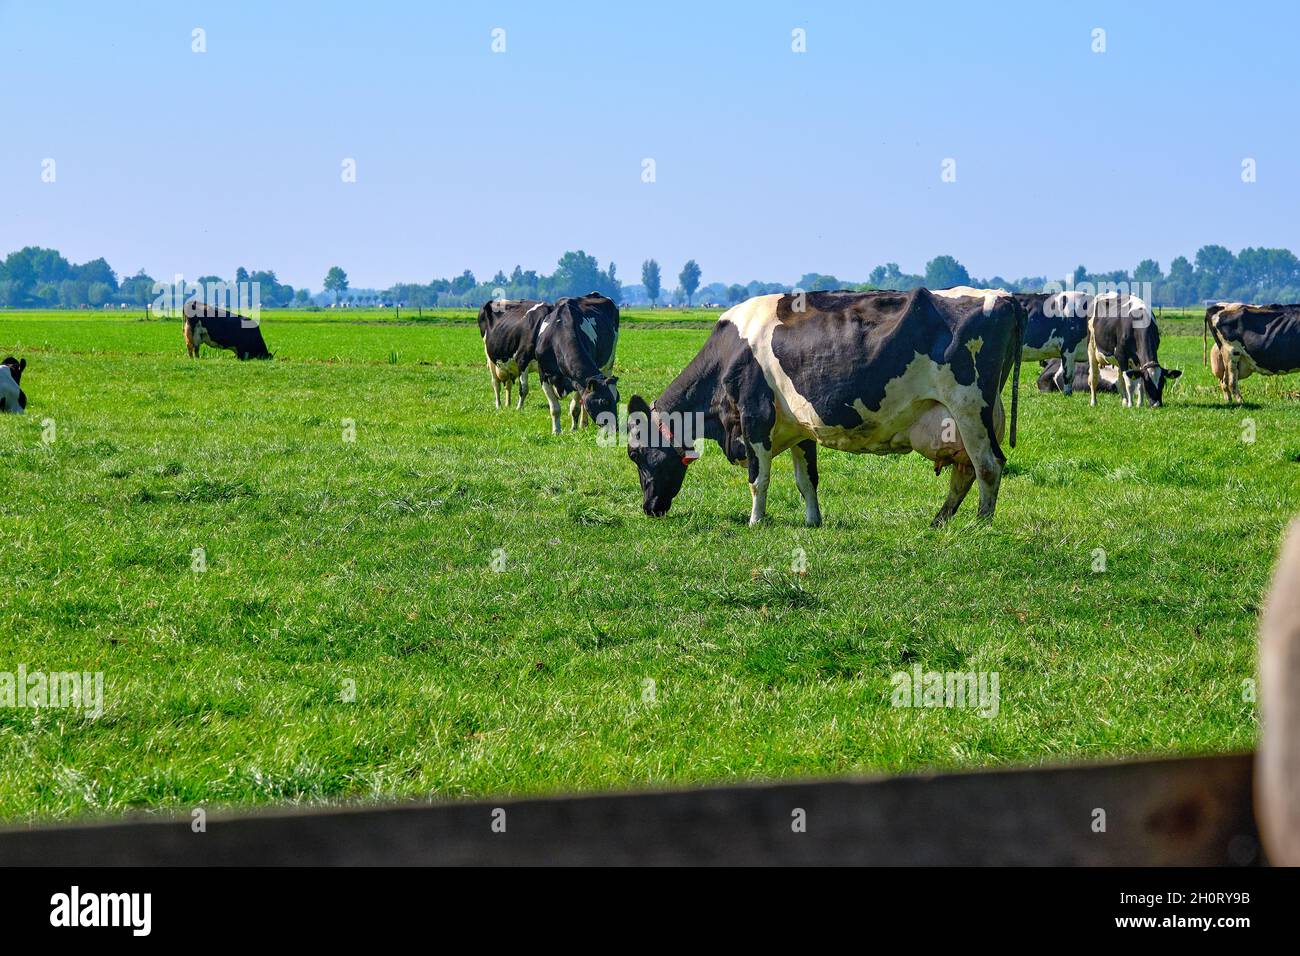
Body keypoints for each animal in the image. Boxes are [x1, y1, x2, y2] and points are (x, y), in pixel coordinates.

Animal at [528, 293, 620, 434]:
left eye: (617, 399)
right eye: (603, 401)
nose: (615, 429)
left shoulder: (579, 381)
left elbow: (576, 406)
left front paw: (574, 428)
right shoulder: (543, 374)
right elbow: (554, 408)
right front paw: (556, 431)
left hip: (609, 362)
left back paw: (583, 424)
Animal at [625, 288, 1024, 527]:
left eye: (635, 454)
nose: (649, 508)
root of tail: (1002, 298)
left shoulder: (754, 419)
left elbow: (759, 478)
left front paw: (756, 521)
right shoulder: (799, 427)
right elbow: (807, 480)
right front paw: (812, 521)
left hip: (970, 407)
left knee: (988, 466)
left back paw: (981, 524)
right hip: (962, 417)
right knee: (965, 470)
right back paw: (939, 521)